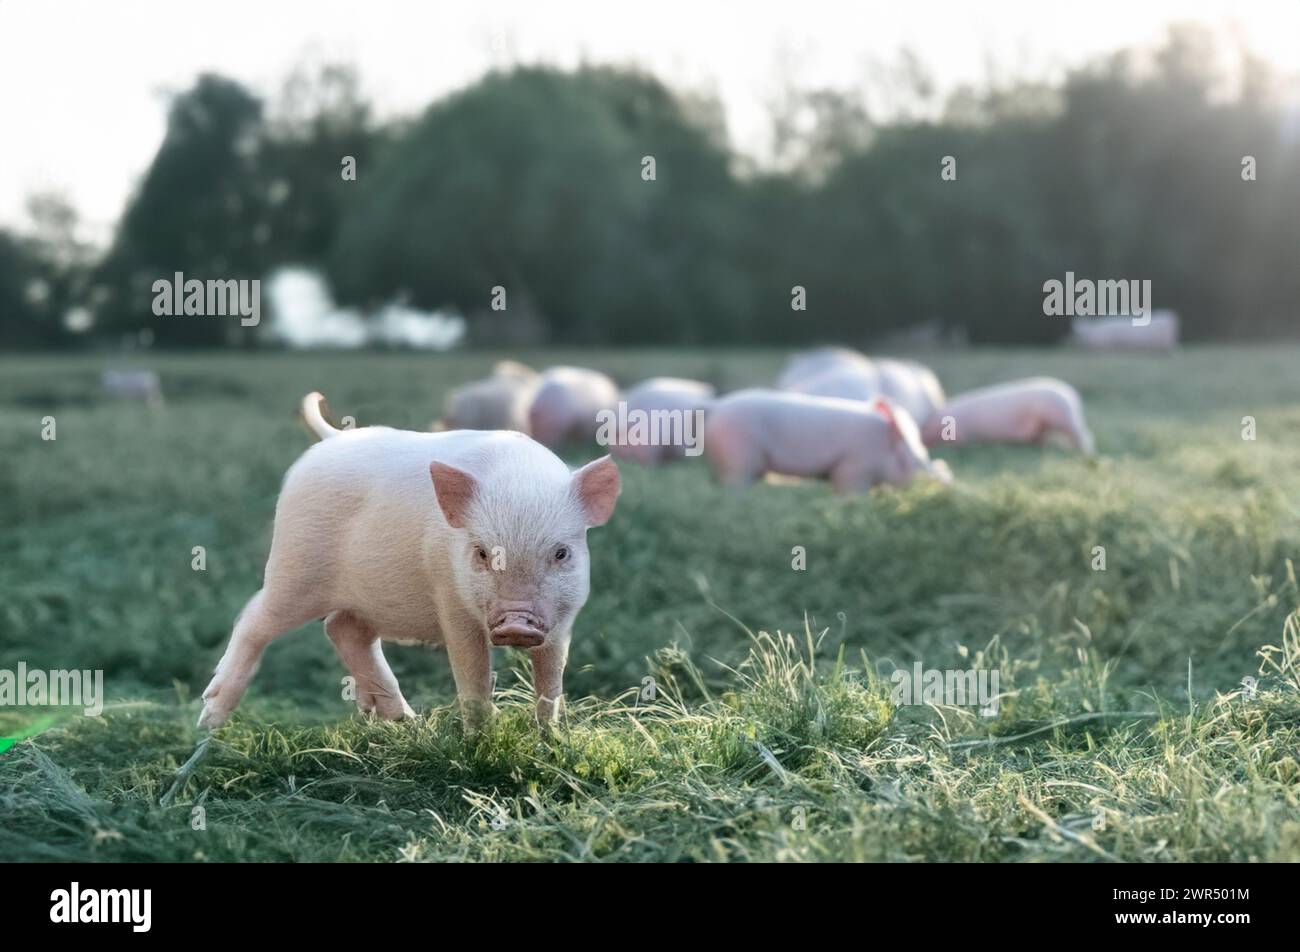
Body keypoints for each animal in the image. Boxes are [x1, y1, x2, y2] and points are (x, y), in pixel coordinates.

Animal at [198, 391, 621, 730]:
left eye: (561, 553)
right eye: (482, 553)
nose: (517, 622)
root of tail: (333, 438)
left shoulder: (563, 617)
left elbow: (551, 679)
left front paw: (549, 738)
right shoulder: (451, 600)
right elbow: (472, 674)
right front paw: (480, 739)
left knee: (343, 629)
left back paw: (402, 721)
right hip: (294, 566)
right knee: (254, 619)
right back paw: (209, 720)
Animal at [705, 389, 952, 494]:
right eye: (917, 459)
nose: (947, 479)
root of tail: (716, 407)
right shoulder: (853, 469)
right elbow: (849, 493)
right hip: (739, 456)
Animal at [921, 377, 1094, 454]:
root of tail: (1073, 395)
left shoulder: (962, 434)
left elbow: (962, 444)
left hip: (1065, 419)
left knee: (1085, 436)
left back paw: (1086, 454)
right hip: (1047, 425)